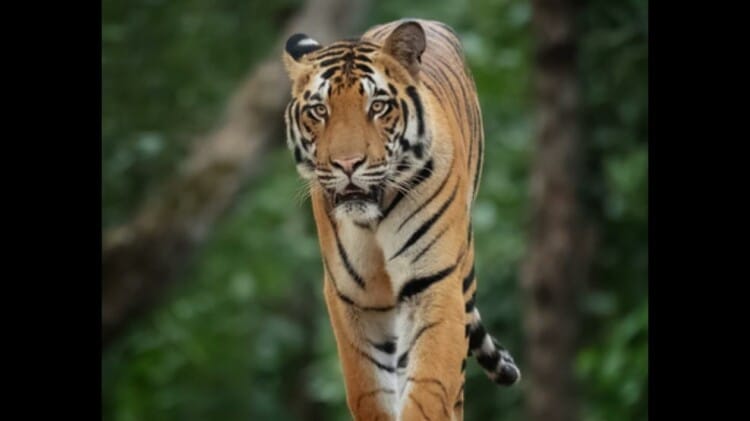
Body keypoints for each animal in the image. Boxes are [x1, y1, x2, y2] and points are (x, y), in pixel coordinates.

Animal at [282, 19, 520, 420]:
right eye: (319, 110)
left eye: (378, 106)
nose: (347, 164)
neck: (371, 223)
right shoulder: (351, 298)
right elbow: (369, 391)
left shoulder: (434, 282)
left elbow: (429, 386)